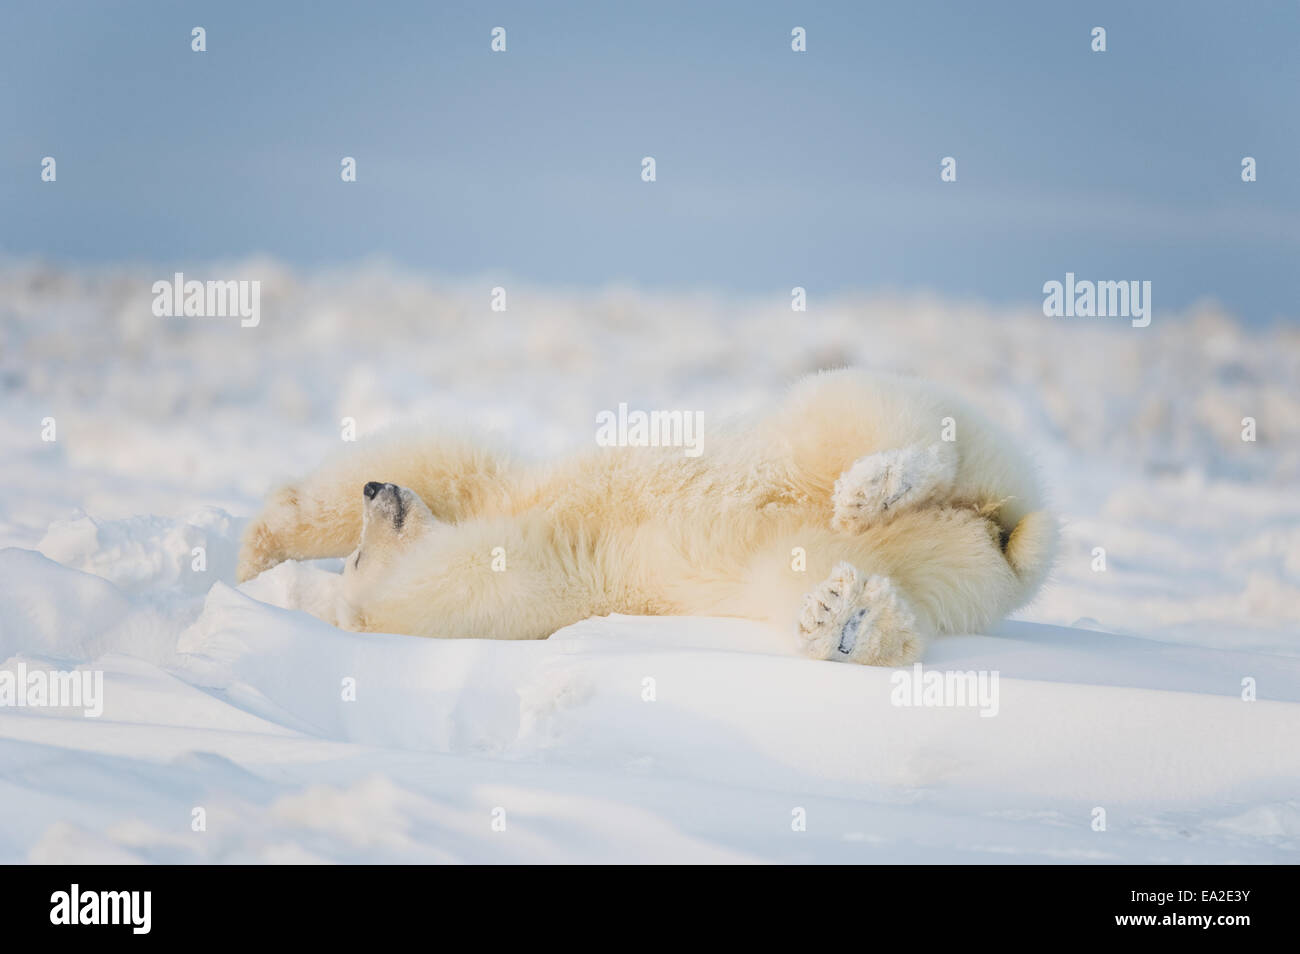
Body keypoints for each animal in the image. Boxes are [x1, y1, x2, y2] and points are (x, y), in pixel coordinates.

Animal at [236, 368, 1057, 666]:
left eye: (355, 555)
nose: (379, 494)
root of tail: (998, 529)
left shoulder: (516, 499)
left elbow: (449, 459)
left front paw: (257, 551)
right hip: (960, 574)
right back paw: (845, 618)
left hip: (832, 422)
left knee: (865, 425)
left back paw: (875, 487)